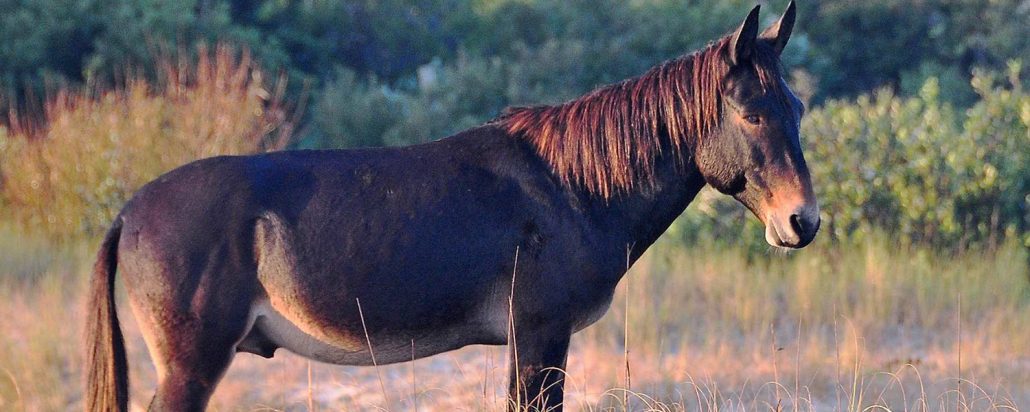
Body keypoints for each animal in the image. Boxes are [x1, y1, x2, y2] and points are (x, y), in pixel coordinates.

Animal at [85, 2, 816, 410]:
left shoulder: (535, 343)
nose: (803, 223)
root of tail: (129, 210)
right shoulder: (539, 337)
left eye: (799, 108)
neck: (576, 190)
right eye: (752, 114)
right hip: (191, 363)